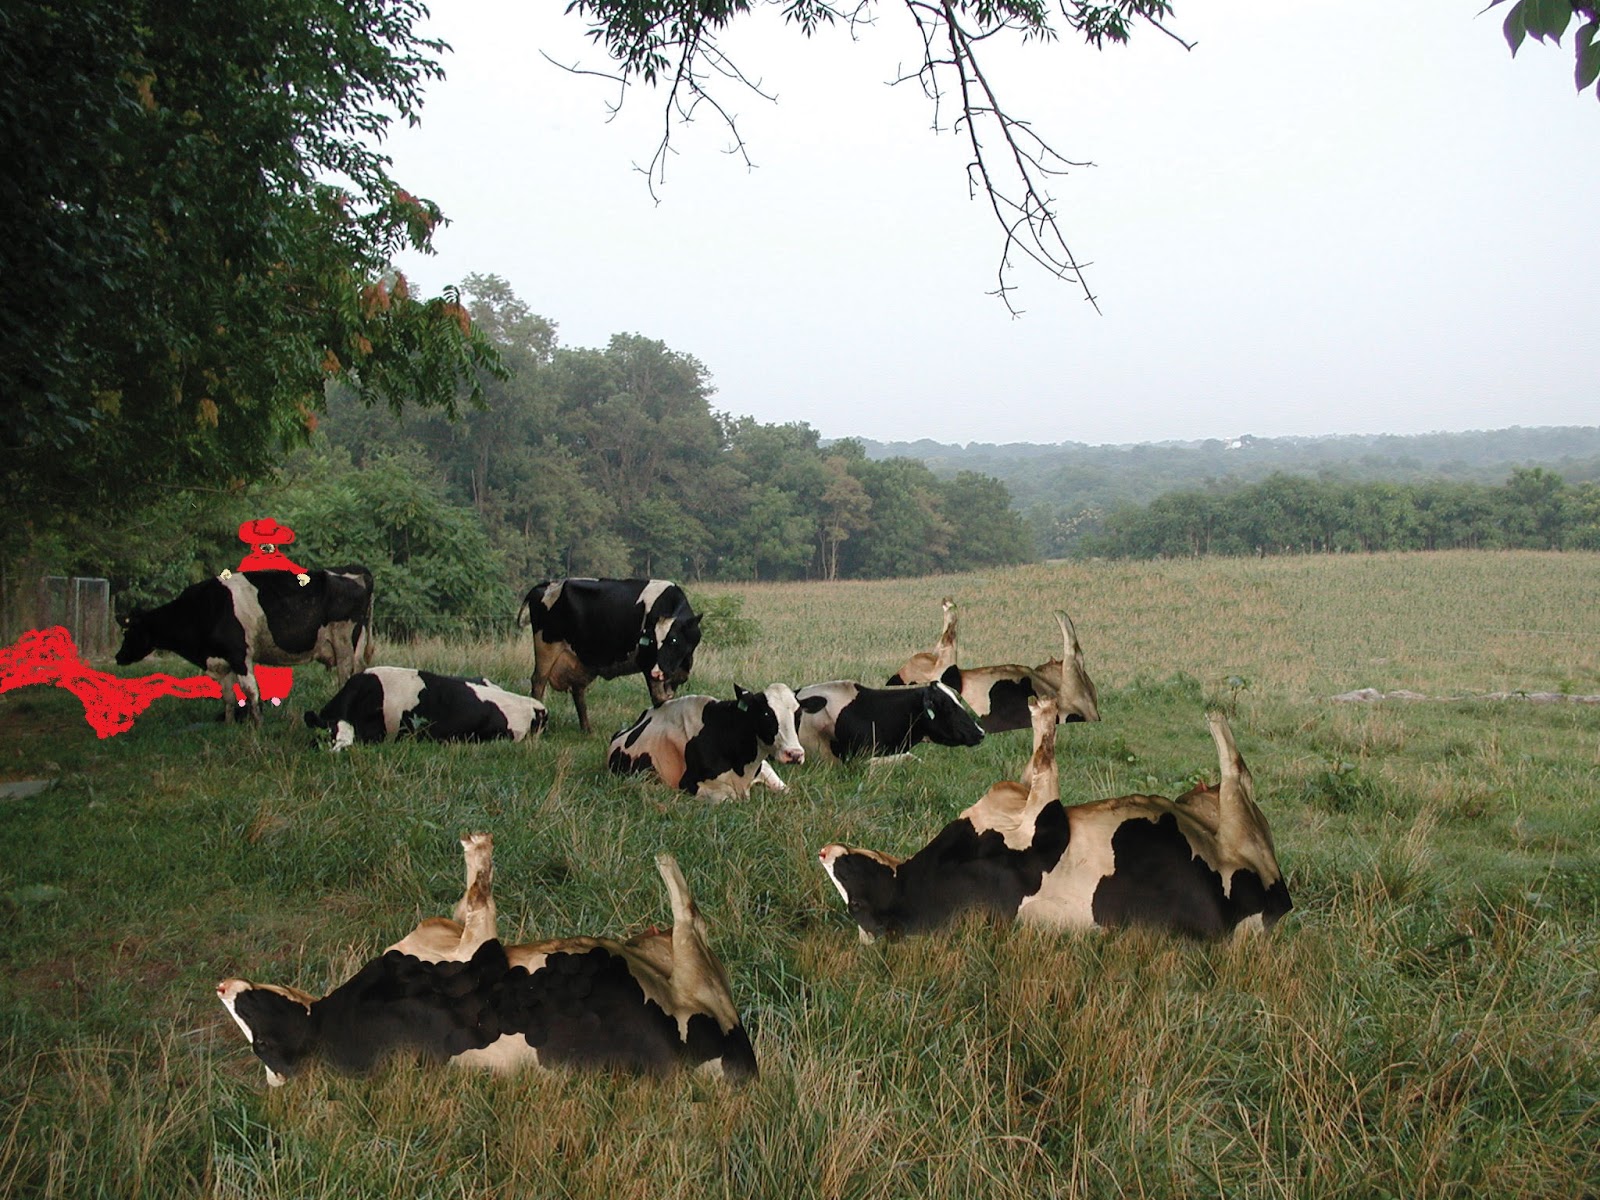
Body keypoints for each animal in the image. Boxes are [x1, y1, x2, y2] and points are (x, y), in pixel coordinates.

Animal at [114, 568, 375, 724]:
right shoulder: (223, 660)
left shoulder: (240, 655)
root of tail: (355, 572)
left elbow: (251, 692)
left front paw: (257, 725)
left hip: (343, 642)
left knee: (345, 676)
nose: (118, 657)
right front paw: (229, 725)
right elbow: (229, 696)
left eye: (130, 632)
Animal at [217, 834, 758, 1084]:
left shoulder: (452, 938)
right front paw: (478, 850)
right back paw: (666, 864)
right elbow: (479, 898)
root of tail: (747, 1070)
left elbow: (463, 904)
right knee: (688, 913)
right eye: (261, 1044)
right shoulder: (471, 959)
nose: (221, 988)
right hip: (699, 982)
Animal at [518, 578, 702, 733]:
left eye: (674, 640)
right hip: (546, 647)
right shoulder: (647, 664)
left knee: (578, 690)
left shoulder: (677, 673)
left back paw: (587, 730)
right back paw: (539, 729)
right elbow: (659, 700)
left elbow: (670, 699)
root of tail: (548, 584)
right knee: (538, 682)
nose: (657, 672)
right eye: (650, 642)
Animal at [819, 698, 1290, 942]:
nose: (823, 852)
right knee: (1238, 773)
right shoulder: (1041, 827)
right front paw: (1043, 710)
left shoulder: (1017, 799)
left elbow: (1030, 770)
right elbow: (1045, 765)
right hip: (1245, 843)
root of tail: (1277, 912)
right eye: (855, 906)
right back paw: (1216, 718)